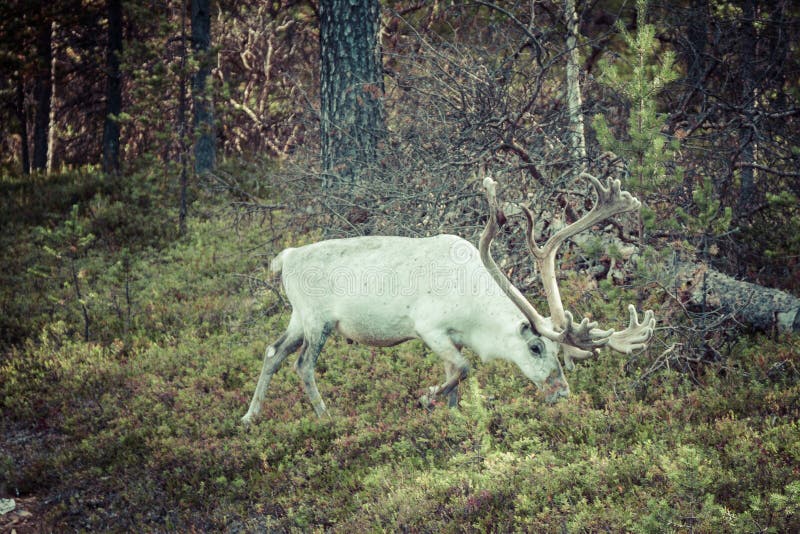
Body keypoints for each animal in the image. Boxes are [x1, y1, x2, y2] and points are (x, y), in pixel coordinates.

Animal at [241, 174, 655, 423]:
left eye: (560, 354)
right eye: (536, 347)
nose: (561, 393)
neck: (475, 315)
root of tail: (285, 257)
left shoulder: (452, 339)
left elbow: (455, 377)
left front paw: (455, 418)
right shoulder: (429, 328)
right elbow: (464, 369)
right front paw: (426, 399)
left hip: (298, 317)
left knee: (272, 352)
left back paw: (250, 416)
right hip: (317, 320)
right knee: (302, 365)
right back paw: (325, 417)